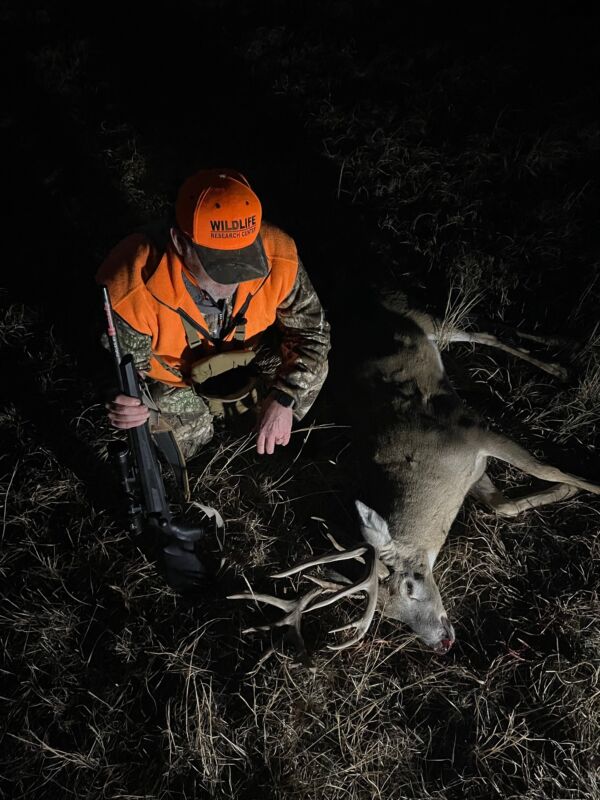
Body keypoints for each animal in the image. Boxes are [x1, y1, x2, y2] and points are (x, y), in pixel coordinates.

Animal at [230, 293, 600, 657]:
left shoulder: (475, 430)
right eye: (389, 613)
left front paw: (587, 487)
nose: (442, 644)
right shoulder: (474, 468)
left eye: (412, 584)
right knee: (483, 334)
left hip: (423, 317)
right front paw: (566, 493)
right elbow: (504, 505)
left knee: (480, 331)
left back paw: (561, 365)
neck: (436, 469)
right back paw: (561, 357)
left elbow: (549, 469)